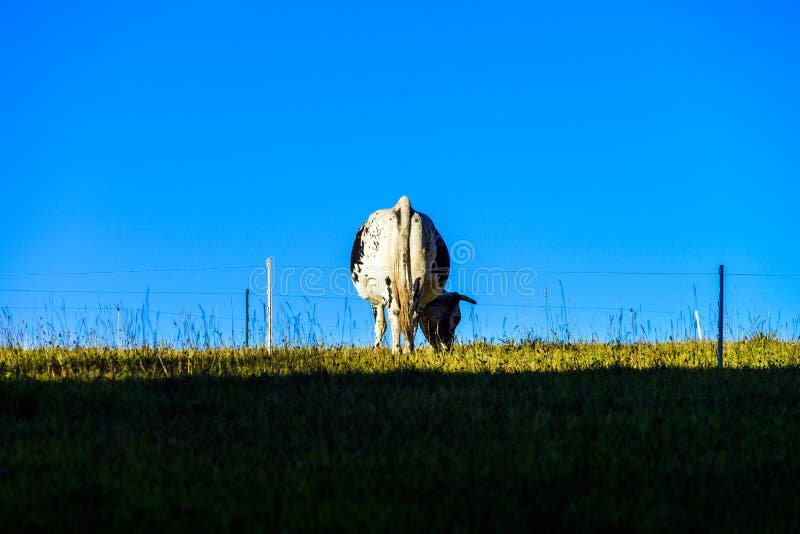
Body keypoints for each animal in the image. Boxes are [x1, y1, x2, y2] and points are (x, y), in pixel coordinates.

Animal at [350, 196, 450, 353]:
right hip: (417, 277)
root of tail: (402, 206)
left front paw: (376, 350)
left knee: (395, 312)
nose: (448, 345)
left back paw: (396, 351)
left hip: (386, 279)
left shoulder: (376, 298)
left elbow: (380, 324)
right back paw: (409, 350)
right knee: (411, 315)